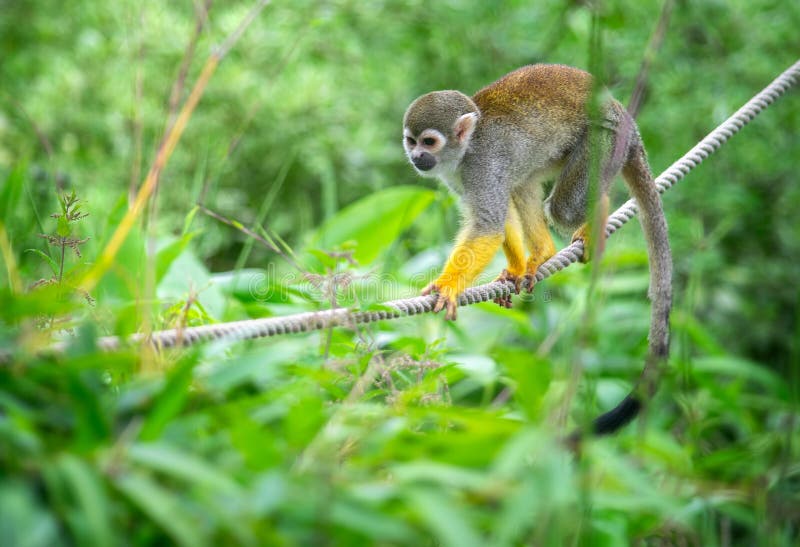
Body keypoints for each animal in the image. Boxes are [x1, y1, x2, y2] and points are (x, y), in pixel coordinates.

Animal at [402, 64, 671, 436]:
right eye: (411, 140)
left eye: (429, 141)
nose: (416, 157)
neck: (465, 150)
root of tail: (624, 116)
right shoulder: (461, 177)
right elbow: (497, 219)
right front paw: (514, 272)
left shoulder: (482, 167)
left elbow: (488, 224)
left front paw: (447, 287)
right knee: (523, 182)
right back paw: (541, 254)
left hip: (605, 139)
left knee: (564, 208)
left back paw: (596, 215)